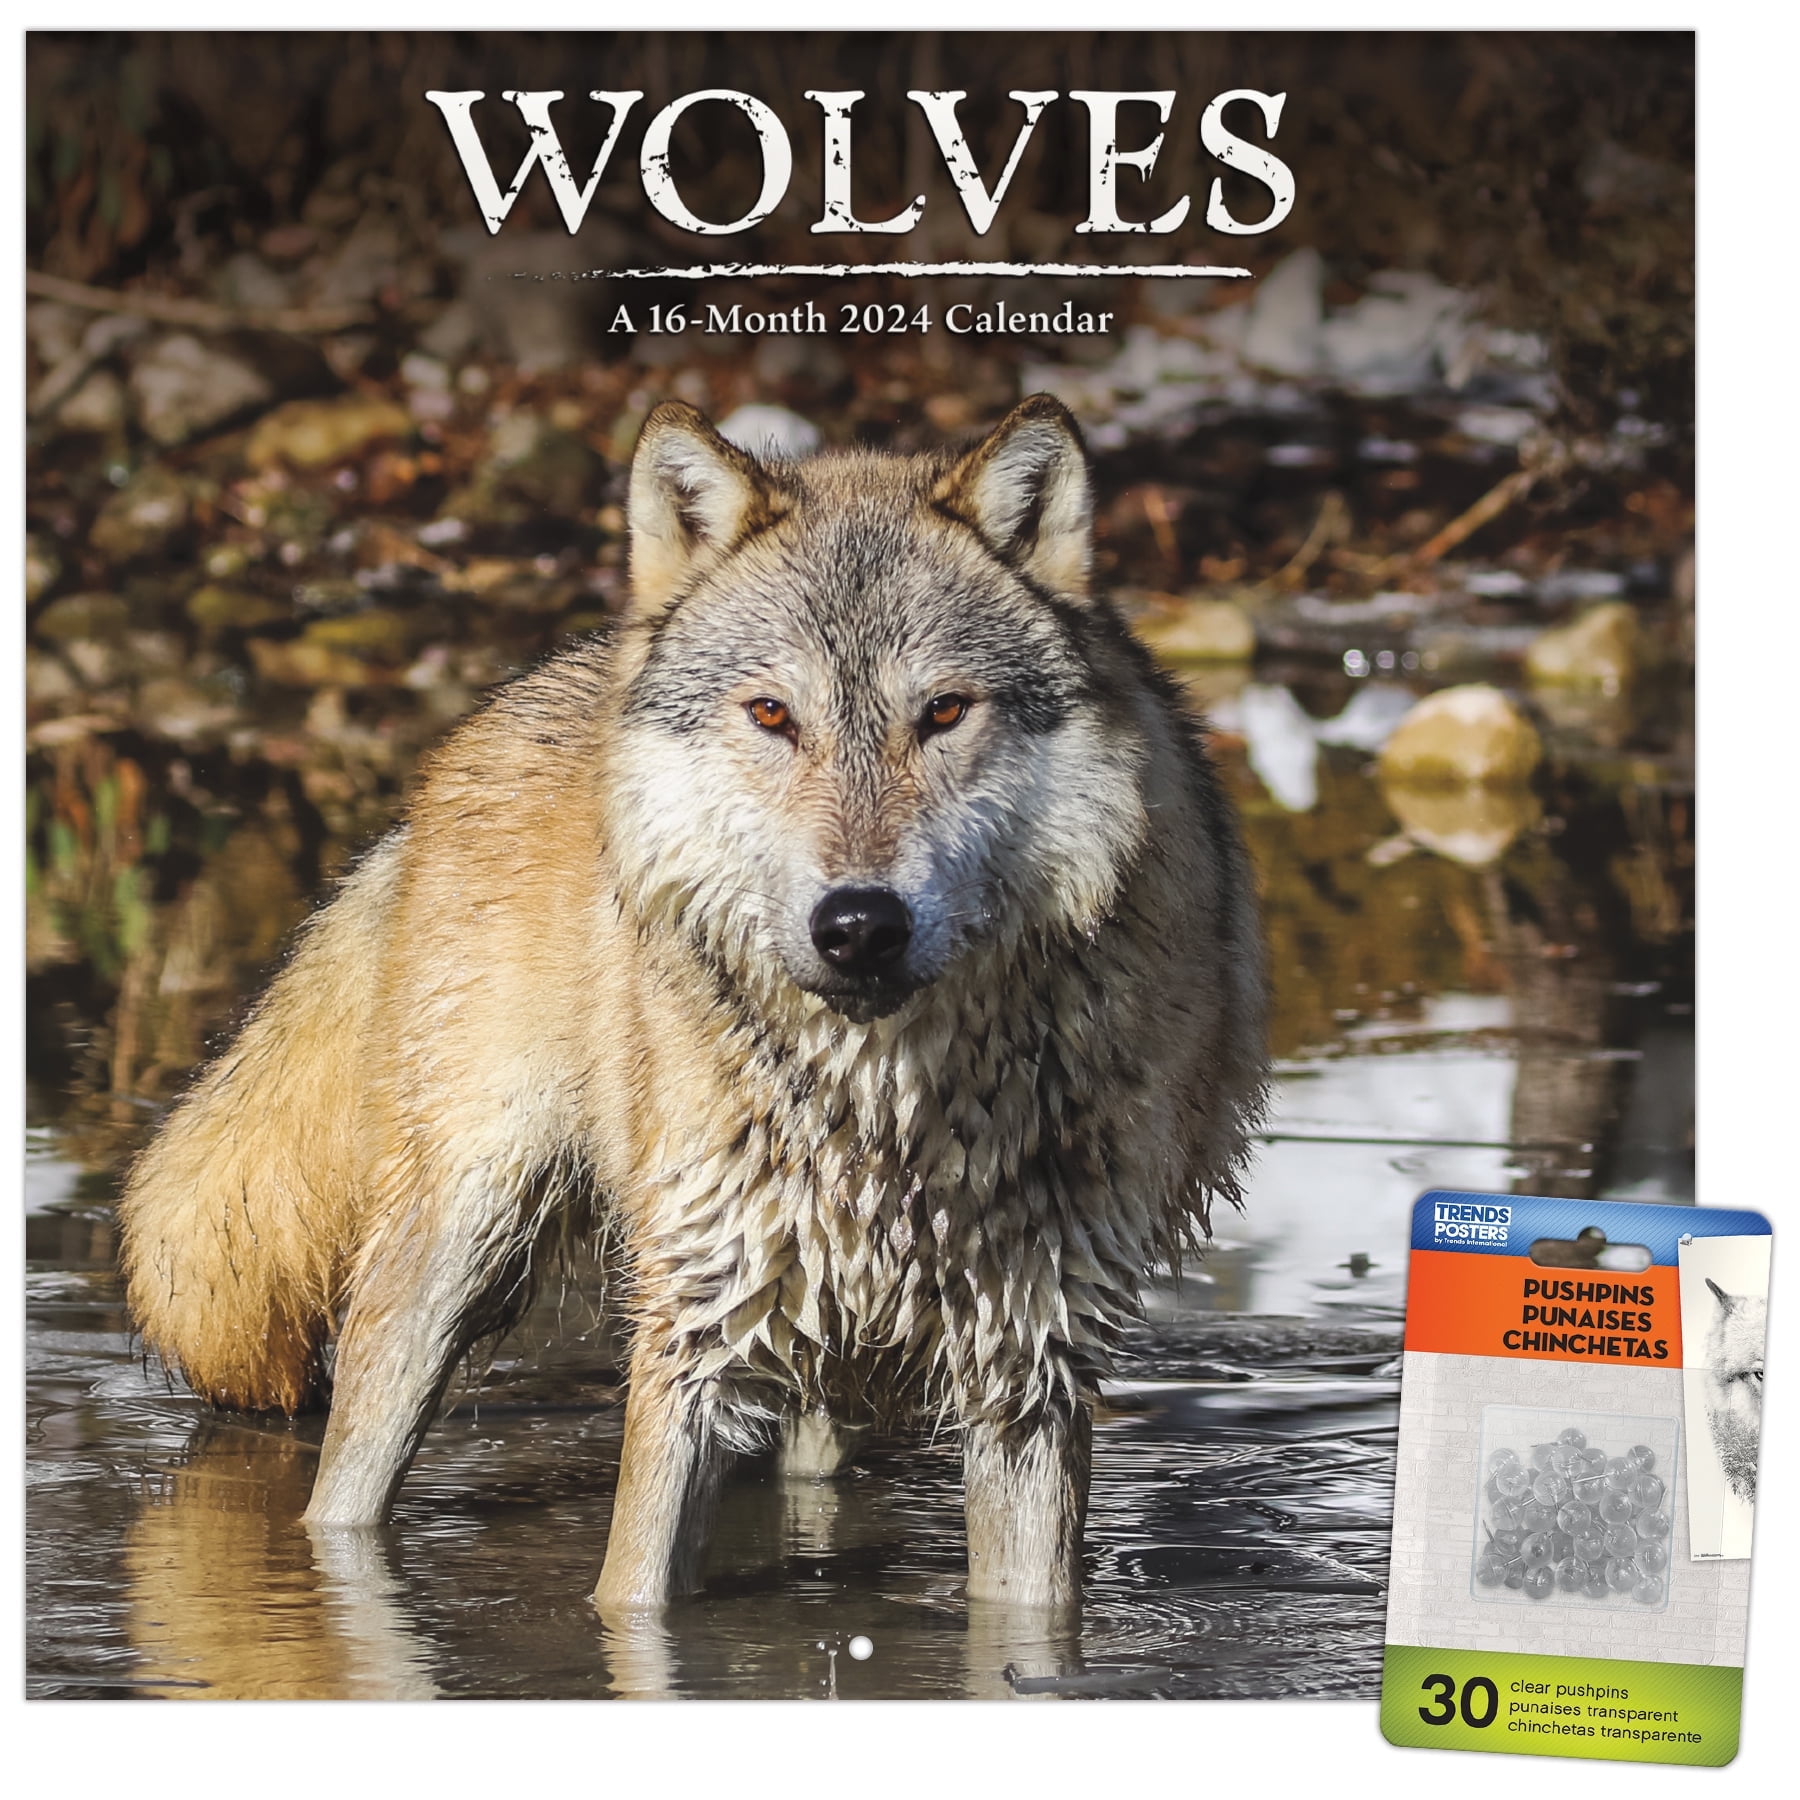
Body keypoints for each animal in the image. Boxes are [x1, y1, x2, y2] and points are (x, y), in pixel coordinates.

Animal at [119, 394, 1267, 1612]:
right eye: (770, 714)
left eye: (946, 712)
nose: (858, 924)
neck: (886, 1110)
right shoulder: (695, 1341)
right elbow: (633, 1597)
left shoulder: (1031, 1369)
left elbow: (1028, 1615)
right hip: (454, 1258)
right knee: (342, 1491)